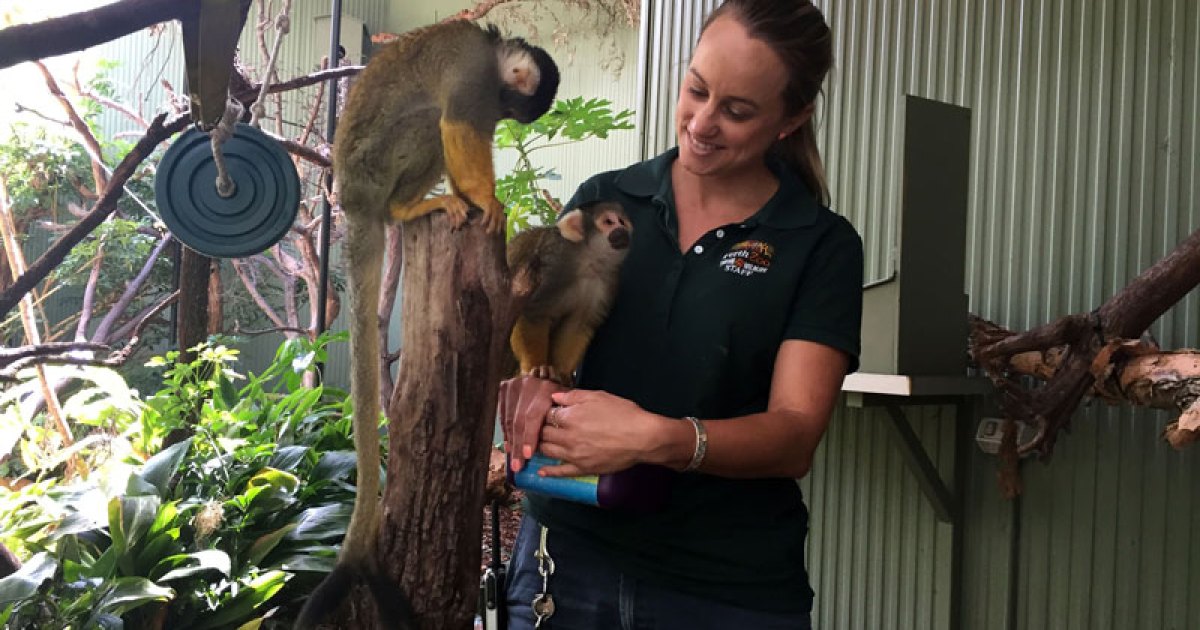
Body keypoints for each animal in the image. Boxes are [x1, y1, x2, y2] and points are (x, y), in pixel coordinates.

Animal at [294, 20, 559, 629]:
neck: (491, 50)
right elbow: (458, 125)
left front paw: (476, 197)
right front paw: (487, 200)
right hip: (375, 170)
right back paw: (406, 210)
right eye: (511, 102)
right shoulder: (471, 73)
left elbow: (465, 133)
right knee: (429, 124)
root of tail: (351, 202)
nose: (507, 114)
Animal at [507, 200, 632, 386]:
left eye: (622, 222)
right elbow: (533, 311)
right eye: (609, 222)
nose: (622, 229)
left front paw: (562, 373)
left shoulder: (605, 282)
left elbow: (578, 325)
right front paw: (536, 367)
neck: (588, 261)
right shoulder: (553, 261)